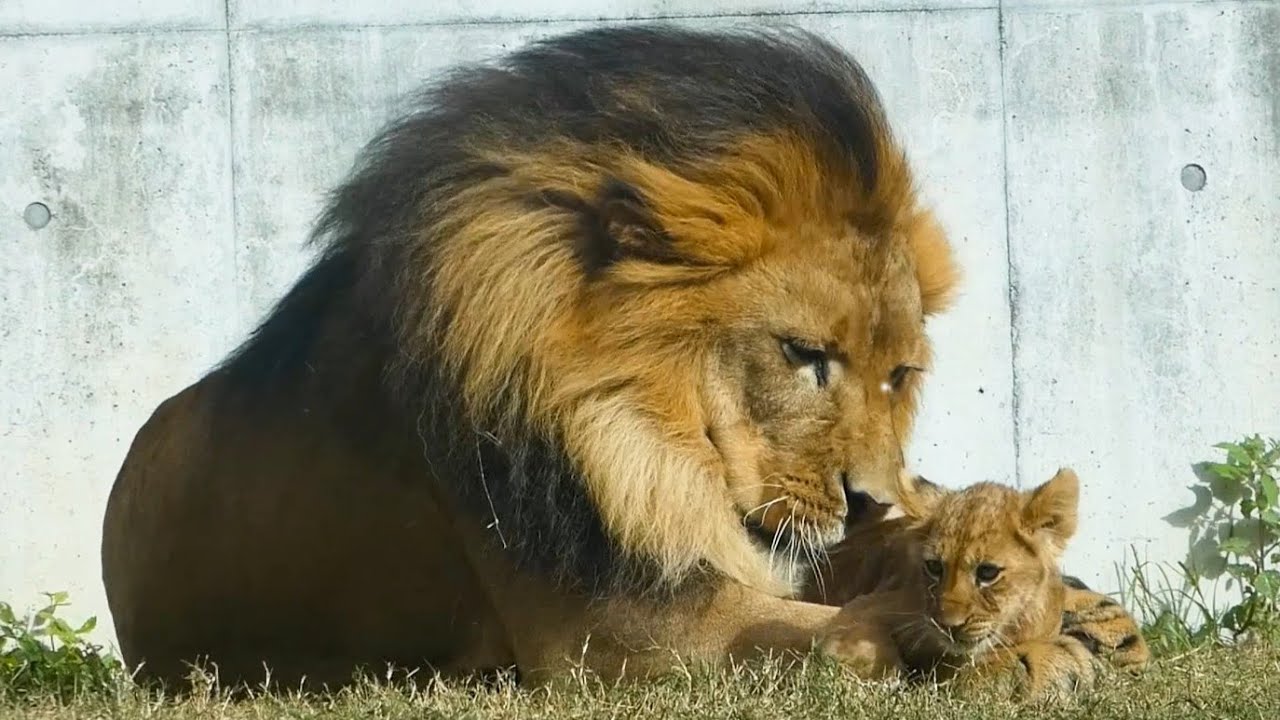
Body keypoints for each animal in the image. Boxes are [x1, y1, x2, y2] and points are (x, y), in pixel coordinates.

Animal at [100, 24, 959, 690]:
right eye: (804, 354)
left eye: (898, 376)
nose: (872, 503)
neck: (641, 429)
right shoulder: (603, 637)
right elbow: (813, 628)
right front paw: (913, 623)